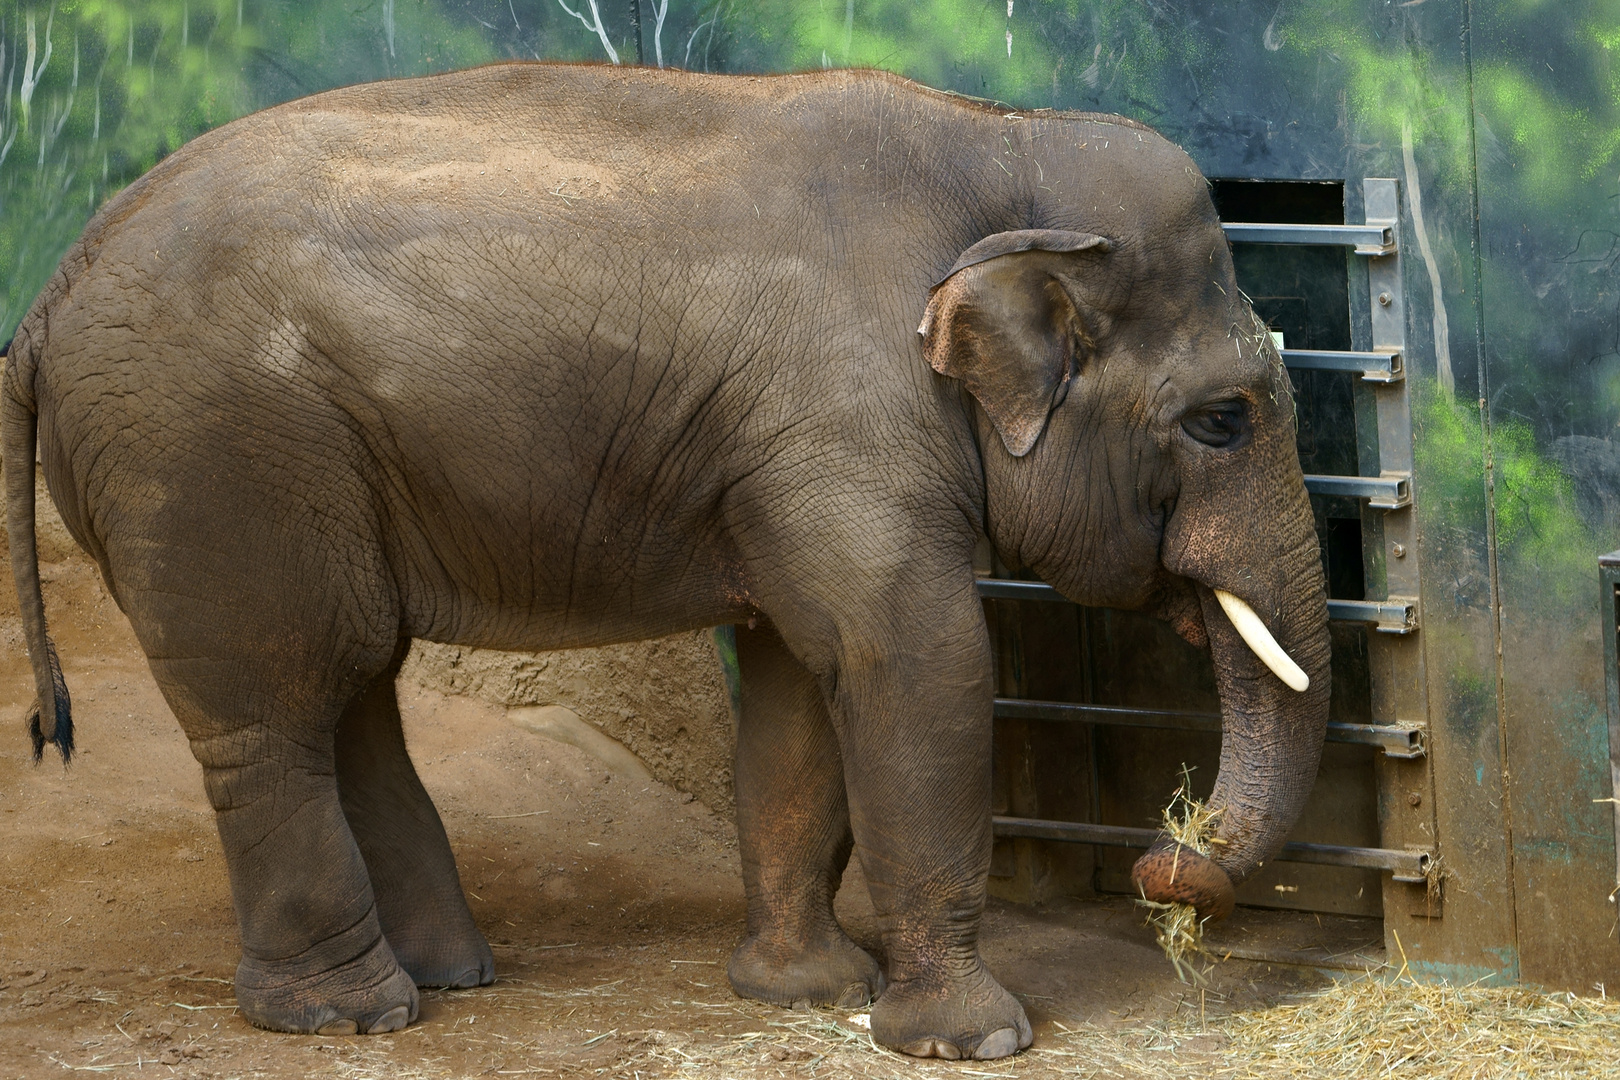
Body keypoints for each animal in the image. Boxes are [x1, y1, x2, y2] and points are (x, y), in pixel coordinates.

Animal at [3, 64, 1330, 1060]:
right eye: (1223, 420)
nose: (1168, 860)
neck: (1001, 142)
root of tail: (48, 291)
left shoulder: (782, 459)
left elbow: (801, 680)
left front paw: (805, 991)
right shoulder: (841, 416)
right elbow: (917, 659)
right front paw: (971, 1039)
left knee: (354, 685)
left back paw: (448, 976)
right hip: (212, 459)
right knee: (277, 707)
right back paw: (351, 1015)